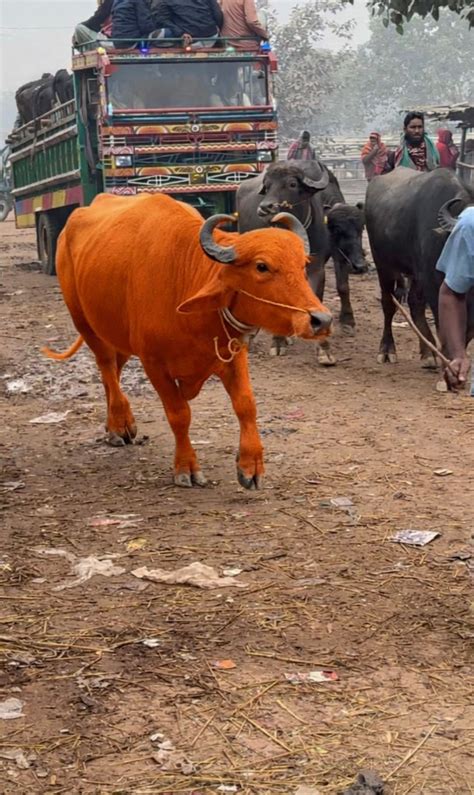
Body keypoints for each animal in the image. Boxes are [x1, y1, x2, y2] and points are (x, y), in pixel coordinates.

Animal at [42, 194, 332, 490]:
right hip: (85, 322)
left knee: (113, 370)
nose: (320, 319)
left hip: (117, 333)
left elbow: (246, 405)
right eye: (262, 266)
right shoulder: (154, 364)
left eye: (303, 264)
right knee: (106, 367)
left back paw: (115, 423)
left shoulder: (233, 354)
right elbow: (180, 414)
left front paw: (250, 465)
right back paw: (120, 425)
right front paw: (186, 466)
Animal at [237, 160, 367, 364]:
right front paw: (278, 341)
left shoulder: (323, 262)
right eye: (267, 186)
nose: (265, 208)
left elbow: (338, 288)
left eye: (292, 184)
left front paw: (328, 342)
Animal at [365, 167, 474, 367]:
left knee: (415, 304)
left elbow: (468, 329)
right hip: (383, 263)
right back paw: (387, 350)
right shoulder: (432, 280)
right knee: (388, 303)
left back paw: (428, 353)